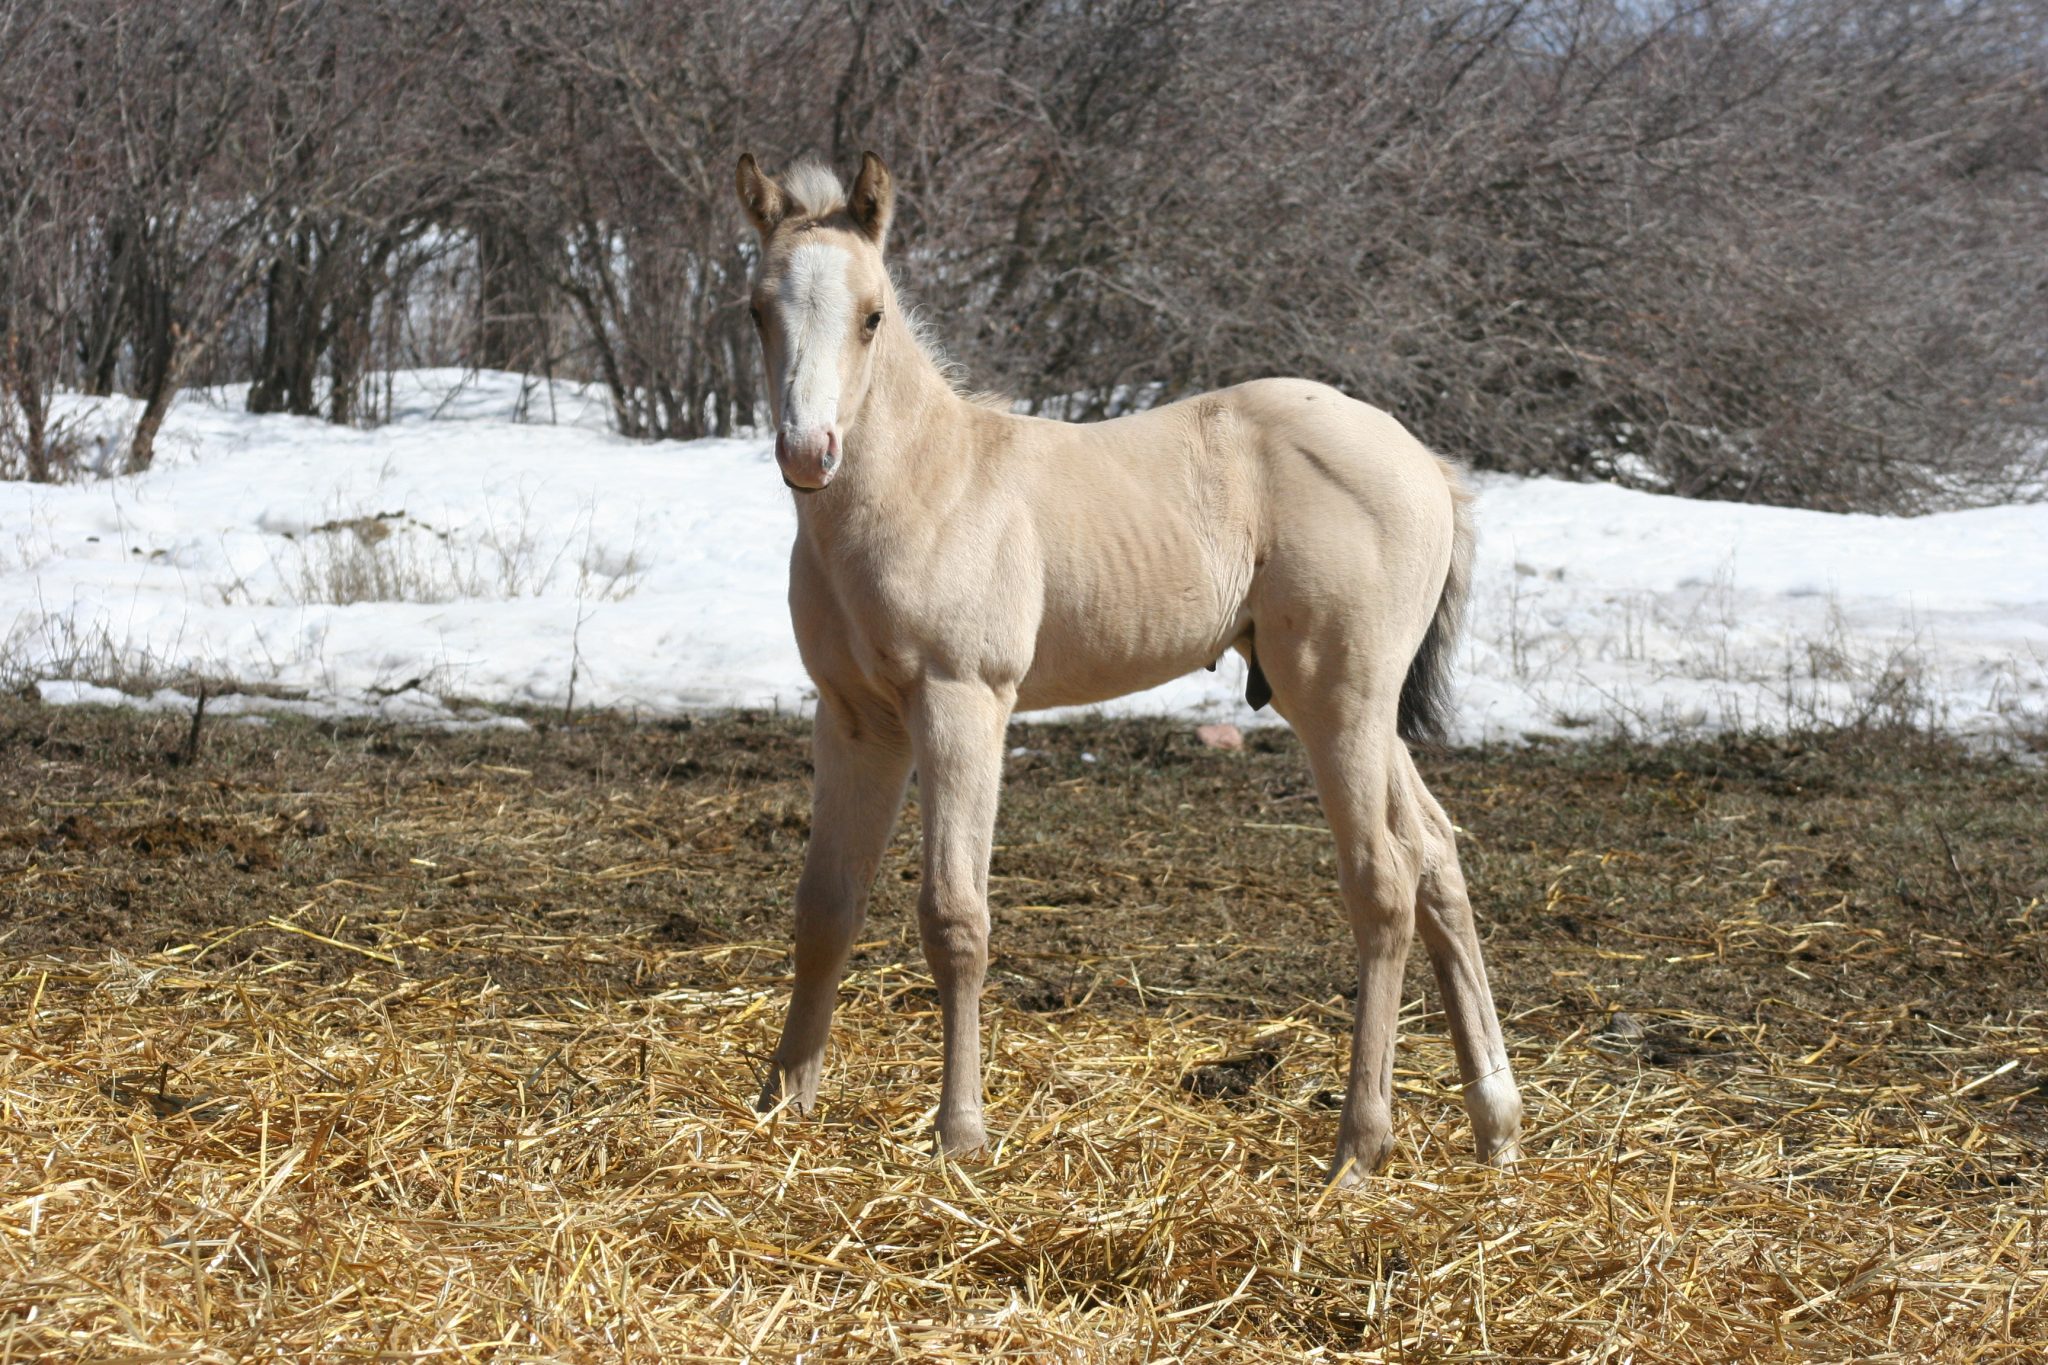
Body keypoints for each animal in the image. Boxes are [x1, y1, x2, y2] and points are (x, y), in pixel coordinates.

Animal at [734, 151, 1522, 1183]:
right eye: (758, 310)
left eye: (872, 314)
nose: (808, 452)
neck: (923, 484)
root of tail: (1429, 466)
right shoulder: (855, 718)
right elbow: (825, 906)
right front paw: (780, 1102)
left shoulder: (961, 701)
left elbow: (955, 917)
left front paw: (960, 1132)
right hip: (1357, 700)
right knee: (1434, 855)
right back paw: (1497, 1121)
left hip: (1339, 696)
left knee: (1383, 883)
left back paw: (1359, 1147)